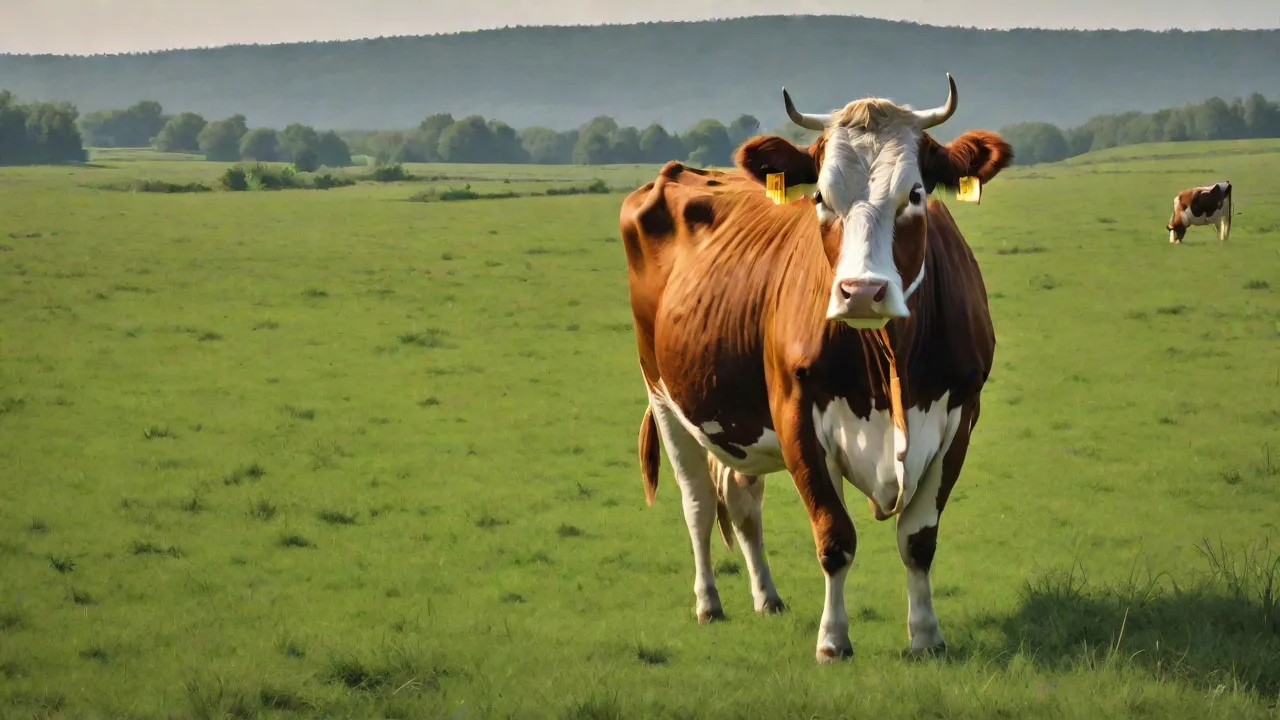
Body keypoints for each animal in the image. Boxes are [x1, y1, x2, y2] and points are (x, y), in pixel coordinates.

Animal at [619, 74, 1012, 663]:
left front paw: (926, 635)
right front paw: (833, 640)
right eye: (822, 198)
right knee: (697, 503)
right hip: (664, 395)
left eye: (915, 195)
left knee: (742, 500)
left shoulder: (960, 418)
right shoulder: (795, 415)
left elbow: (918, 540)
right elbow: (834, 537)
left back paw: (767, 597)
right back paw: (708, 602)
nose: (863, 291)